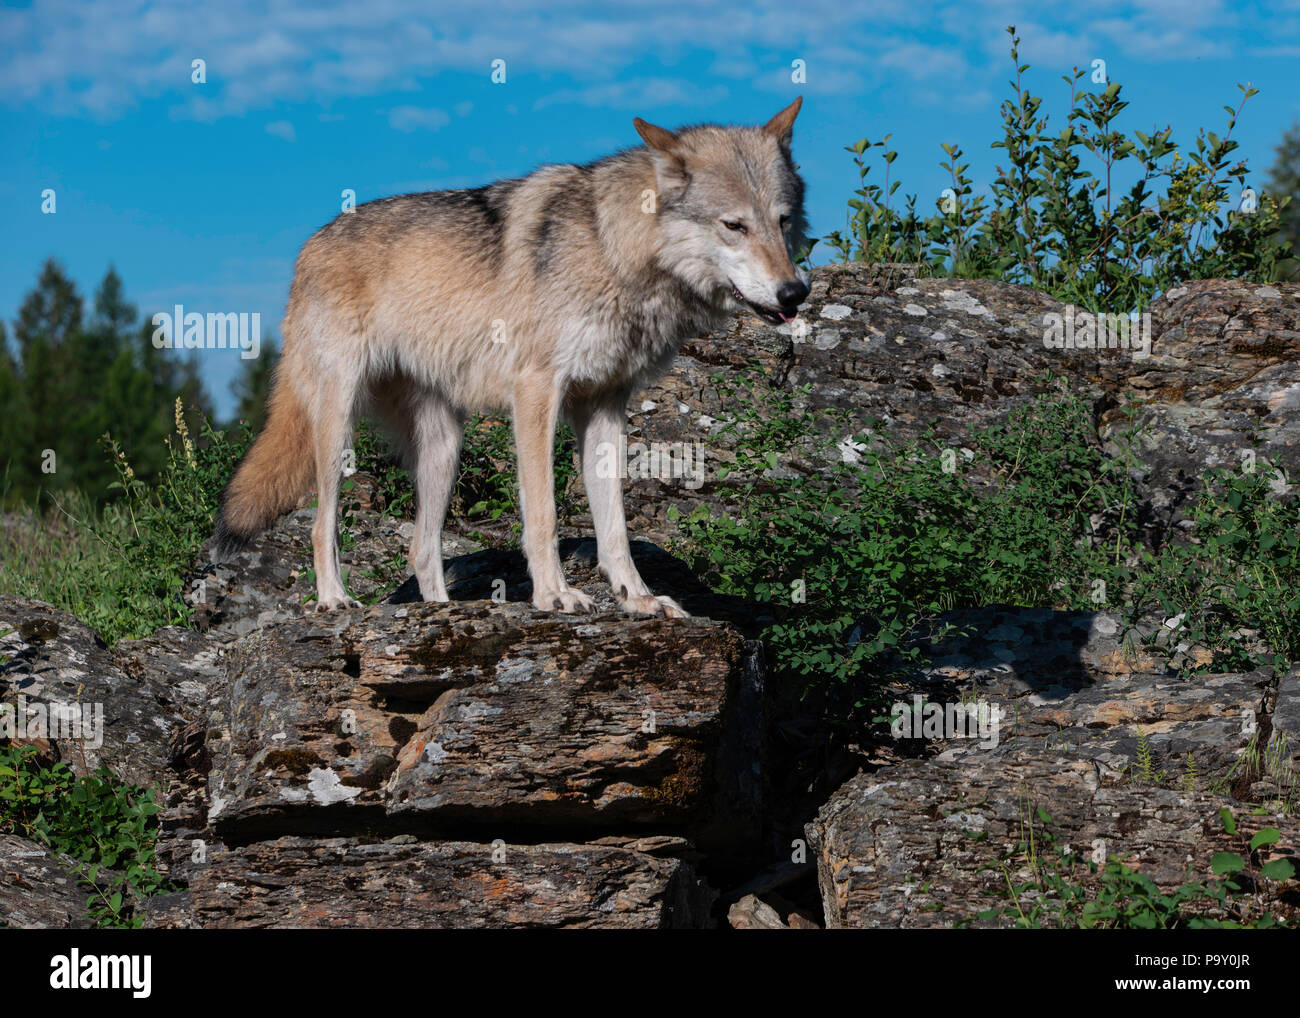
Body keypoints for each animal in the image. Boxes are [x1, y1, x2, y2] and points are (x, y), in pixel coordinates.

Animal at [213, 98, 810, 617]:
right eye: (734, 225)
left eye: (783, 221)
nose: (794, 293)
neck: (612, 249)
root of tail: (309, 246)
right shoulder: (536, 392)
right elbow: (543, 512)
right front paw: (554, 595)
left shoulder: (605, 405)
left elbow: (614, 526)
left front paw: (637, 599)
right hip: (338, 428)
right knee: (323, 526)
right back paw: (334, 599)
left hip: (444, 448)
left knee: (422, 549)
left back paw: (442, 613)